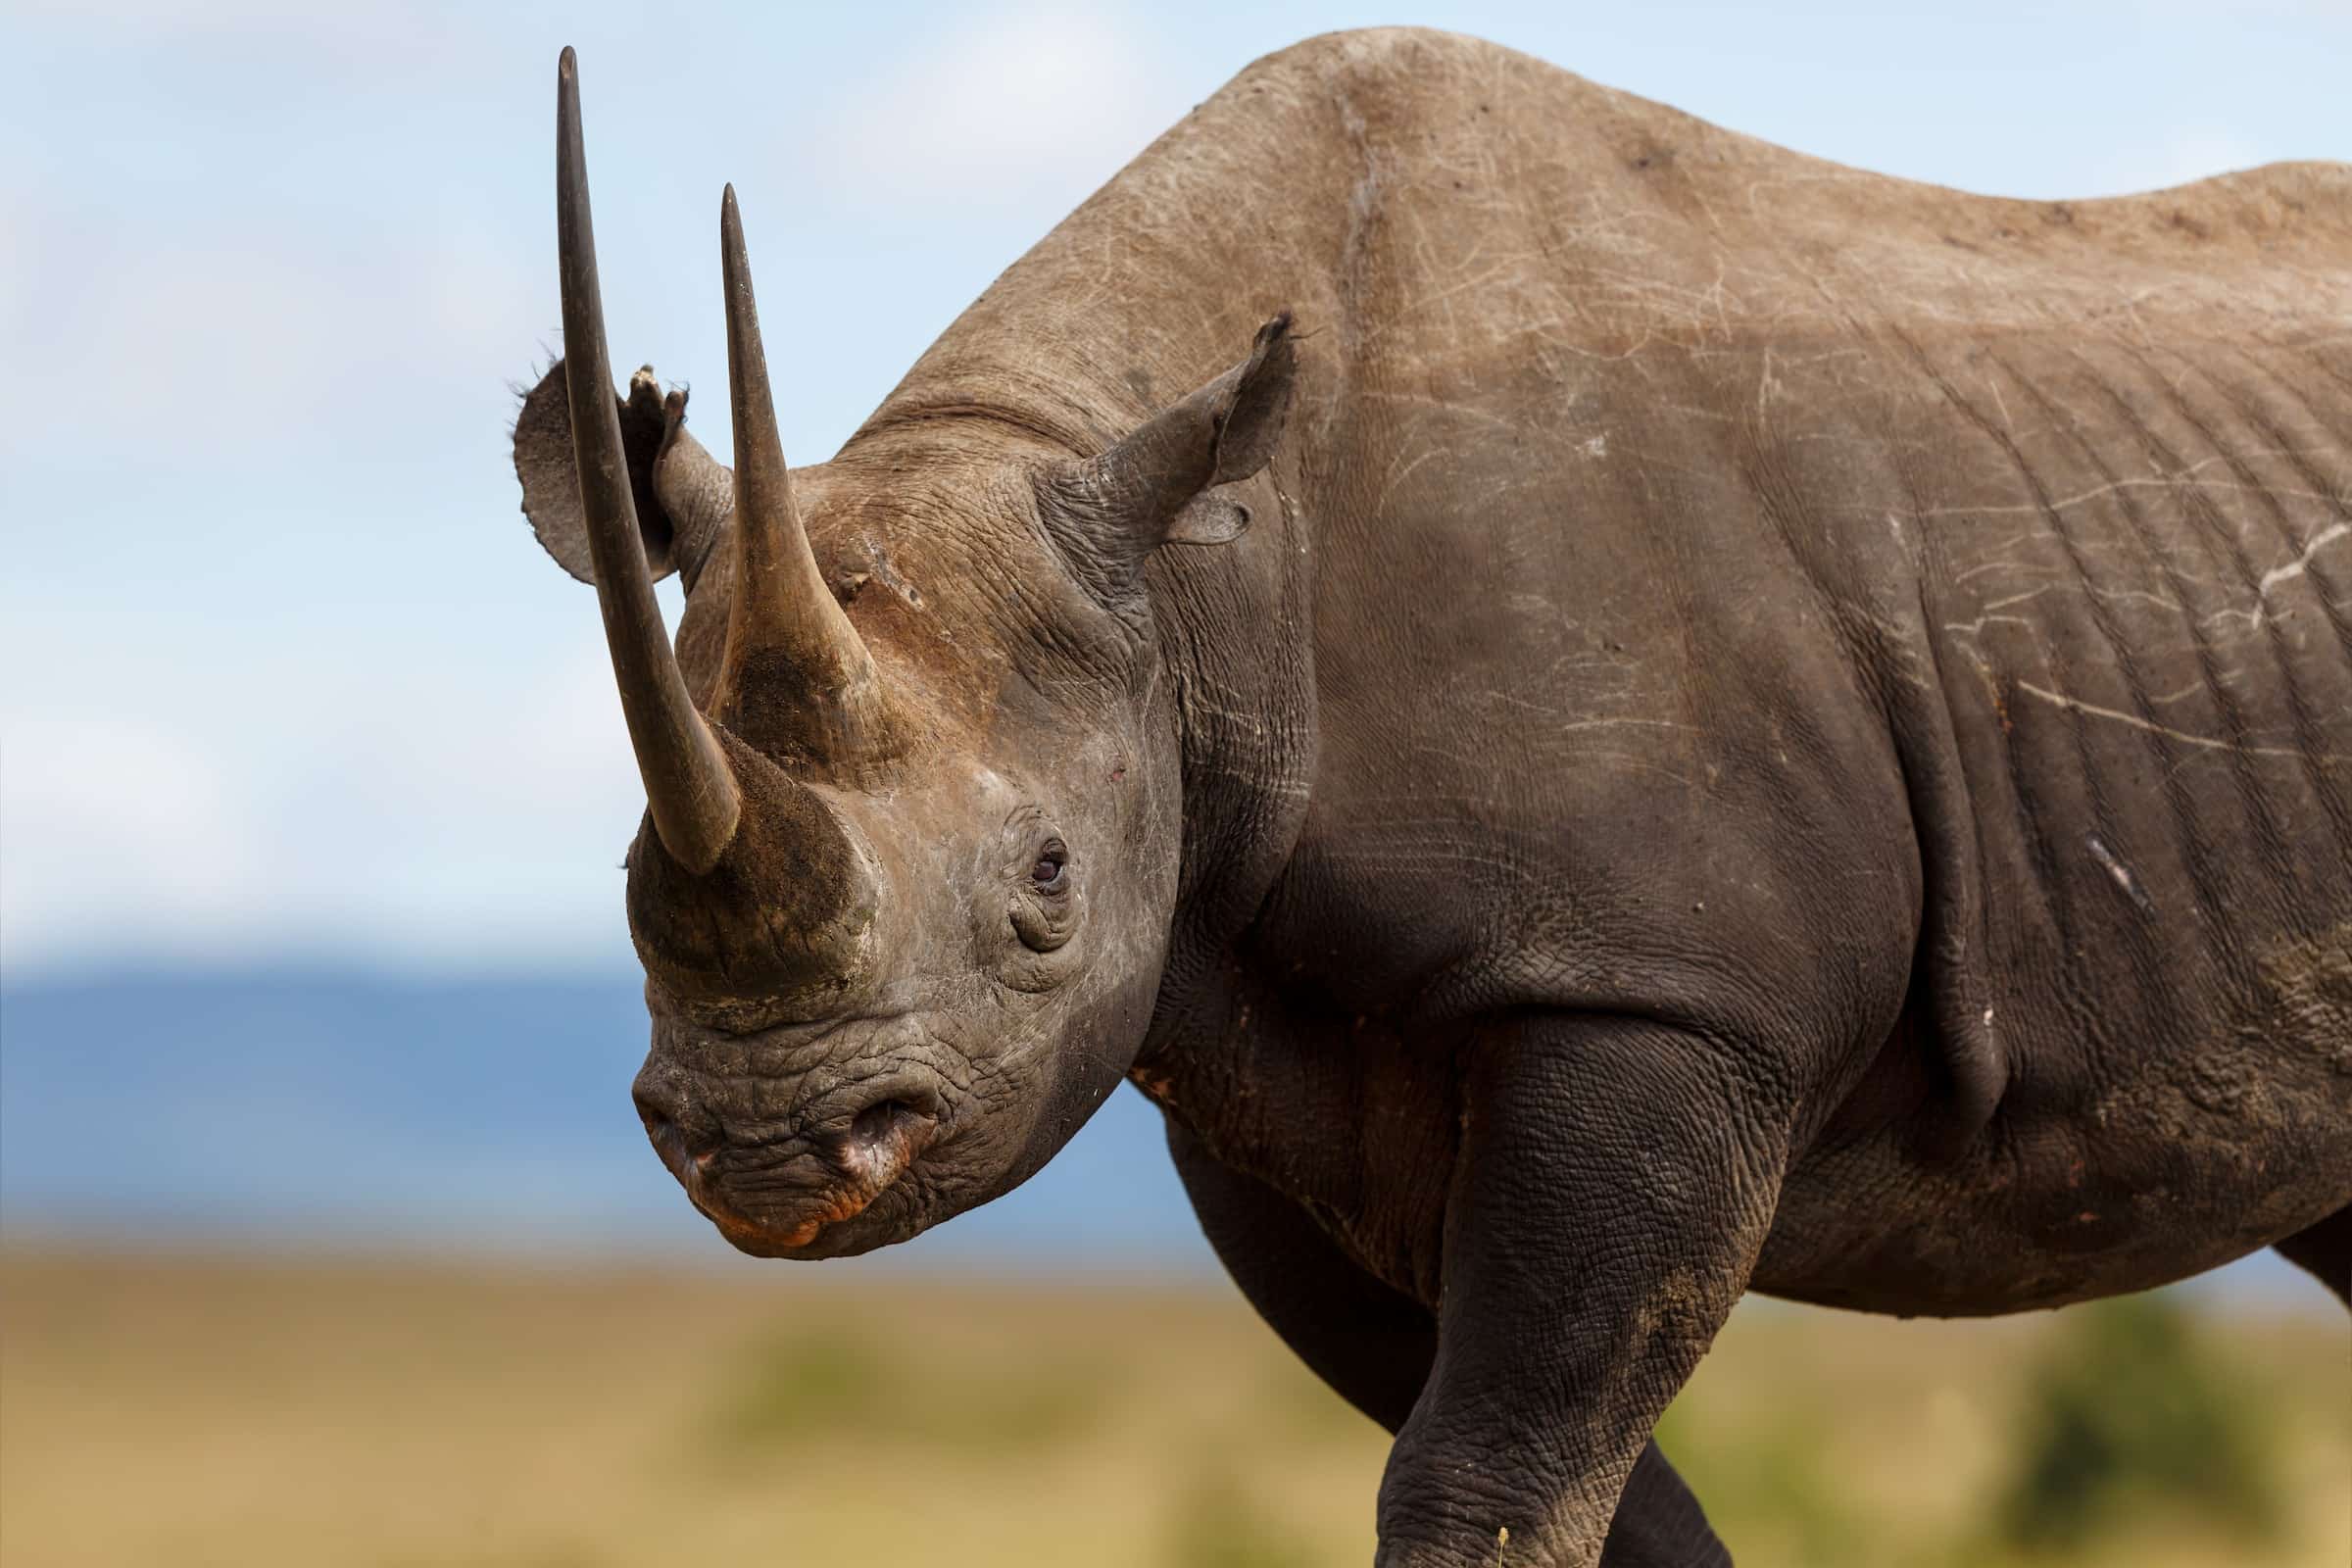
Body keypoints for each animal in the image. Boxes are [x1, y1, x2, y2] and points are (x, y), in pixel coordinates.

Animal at [510, 30, 2351, 1567]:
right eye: (623, 877)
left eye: (1046, 884)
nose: (764, 1149)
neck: (1195, 579)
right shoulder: (1250, 1053)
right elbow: (1558, 1475)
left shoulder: (1661, 997)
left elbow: (1494, 1470)